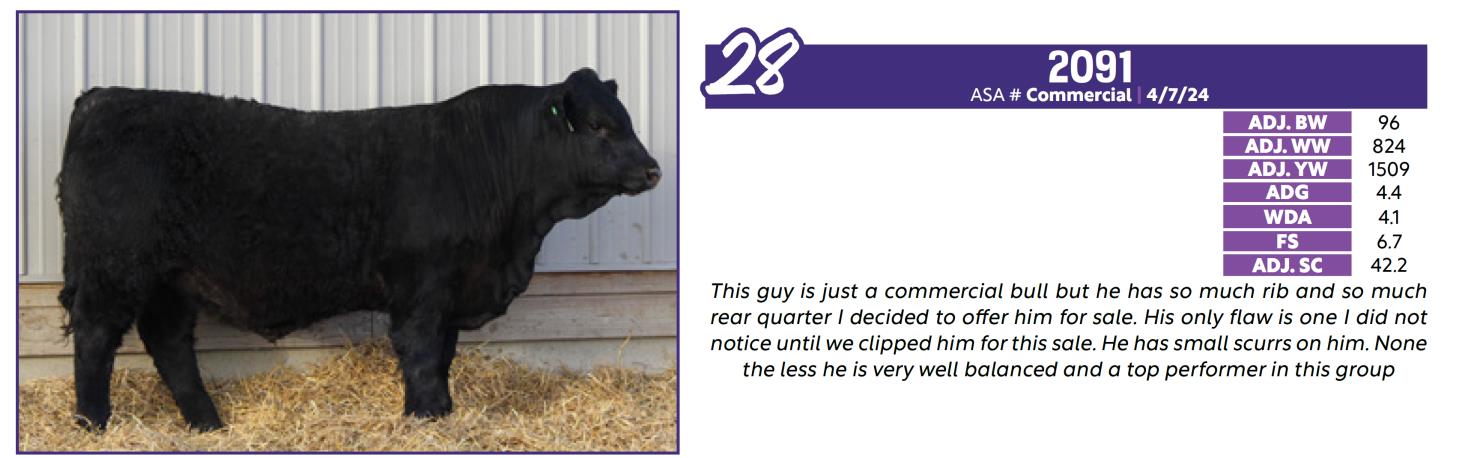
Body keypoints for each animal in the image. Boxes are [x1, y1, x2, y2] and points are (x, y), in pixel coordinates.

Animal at [55, 68, 662, 432]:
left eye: (626, 120)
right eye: (599, 126)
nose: (653, 169)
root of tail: (101, 97)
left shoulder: (451, 290)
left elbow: (443, 355)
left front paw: (441, 414)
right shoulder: (423, 286)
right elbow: (421, 354)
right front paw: (424, 416)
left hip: (171, 277)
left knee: (169, 342)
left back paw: (207, 422)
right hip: (114, 266)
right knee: (95, 337)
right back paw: (92, 422)